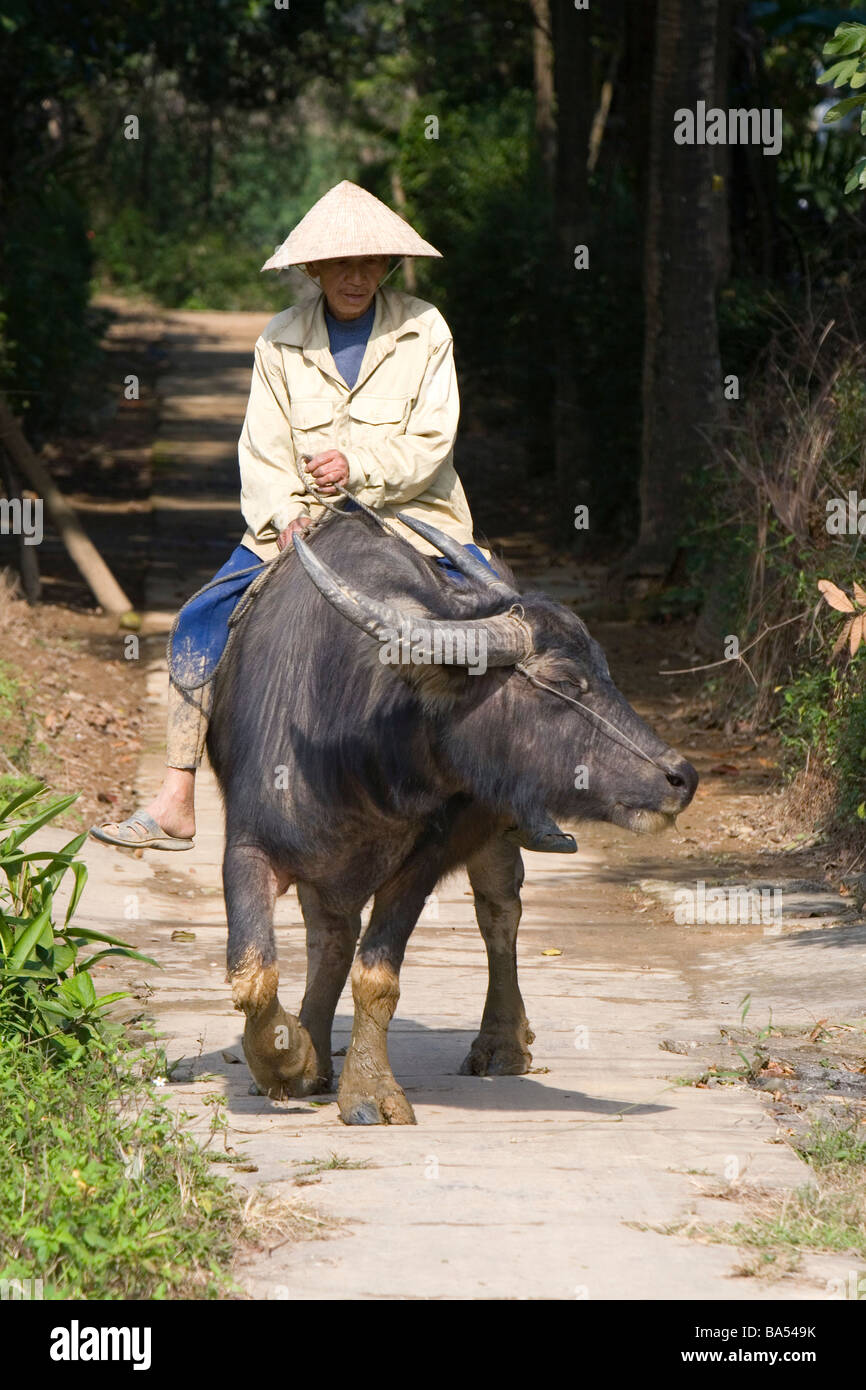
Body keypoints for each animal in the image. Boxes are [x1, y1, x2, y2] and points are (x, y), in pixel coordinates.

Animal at [207, 509, 697, 1124]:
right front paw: (287, 1059)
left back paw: (501, 1043)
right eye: (563, 683)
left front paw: (367, 1091)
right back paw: (313, 1054)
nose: (681, 776)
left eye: (607, 672)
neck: (351, 743)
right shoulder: (248, 847)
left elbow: (378, 977)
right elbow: (253, 974)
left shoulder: (421, 861)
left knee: (499, 915)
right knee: (331, 938)